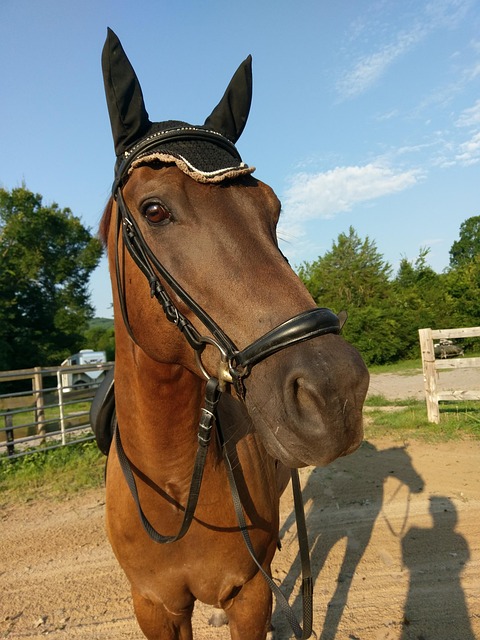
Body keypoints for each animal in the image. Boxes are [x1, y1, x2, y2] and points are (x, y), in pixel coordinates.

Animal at [97, 28, 369, 640]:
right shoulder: (155, 606)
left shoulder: (248, 596)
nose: (335, 391)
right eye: (154, 209)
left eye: (273, 207)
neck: (176, 487)